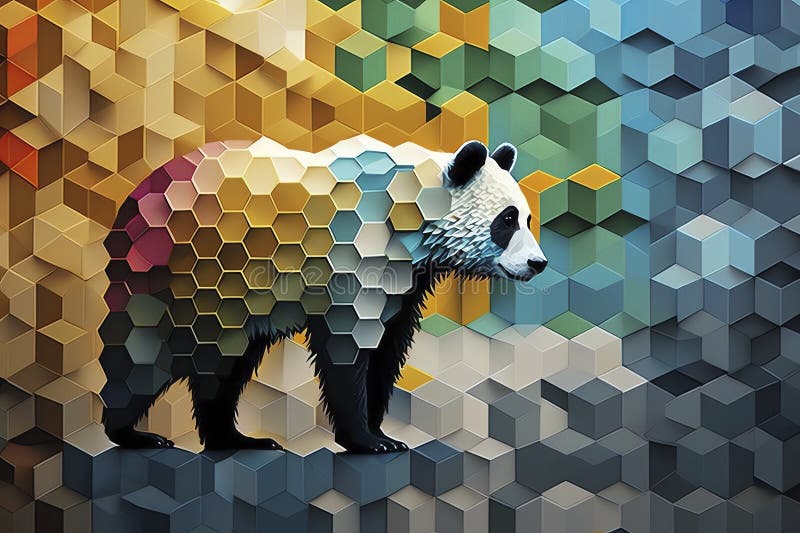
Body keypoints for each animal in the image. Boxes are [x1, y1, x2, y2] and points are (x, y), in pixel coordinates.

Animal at [100, 137, 547, 453]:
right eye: (506, 220)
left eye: (526, 217)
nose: (537, 263)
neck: (410, 206)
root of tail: (139, 193)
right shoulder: (355, 251)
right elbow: (349, 345)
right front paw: (368, 439)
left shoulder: (406, 276)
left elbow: (389, 345)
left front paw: (382, 430)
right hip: (181, 270)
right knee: (147, 351)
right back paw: (131, 432)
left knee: (225, 363)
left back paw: (235, 438)